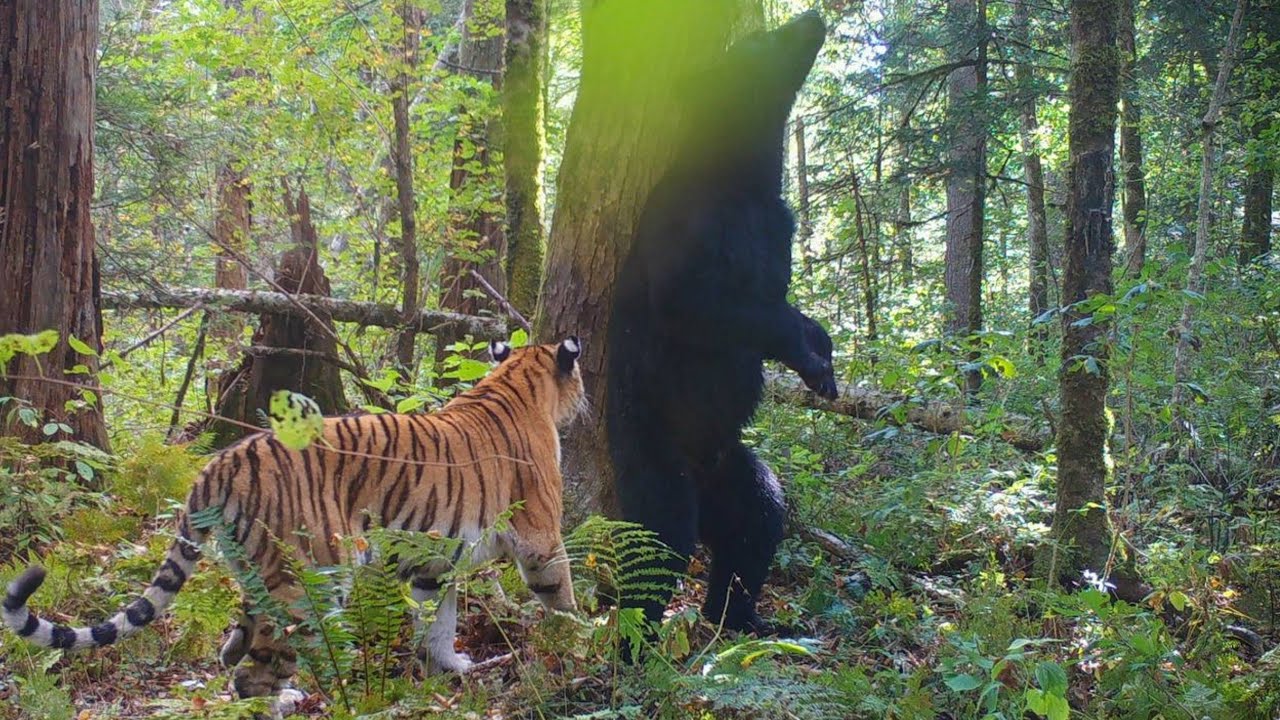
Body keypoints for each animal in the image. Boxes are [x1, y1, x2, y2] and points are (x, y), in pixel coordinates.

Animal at [3, 337, 585, 707]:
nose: (585, 402)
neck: (516, 383)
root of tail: (219, 462)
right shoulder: (539, 538)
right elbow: (561, 593)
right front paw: (586, 638)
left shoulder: (434, 559)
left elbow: (436, 622)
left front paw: (451, 667)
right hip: (312, 578)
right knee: (255, 673)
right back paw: (288, 696)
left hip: (259, 567)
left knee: (240, 645)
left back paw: (247, 658)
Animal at [605, 10, 836, 638]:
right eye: (759, 39)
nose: (811, 15)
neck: (742, 180)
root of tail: (704, 474)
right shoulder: (689, 224)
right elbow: (700, 303)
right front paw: (808, 354)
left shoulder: (777, 227)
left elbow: (780, 300)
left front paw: (823, 358)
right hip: (650, 453)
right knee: (662, 538)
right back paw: (639, 642)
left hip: (737, 468)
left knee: (760, 521)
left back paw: (744, 617)